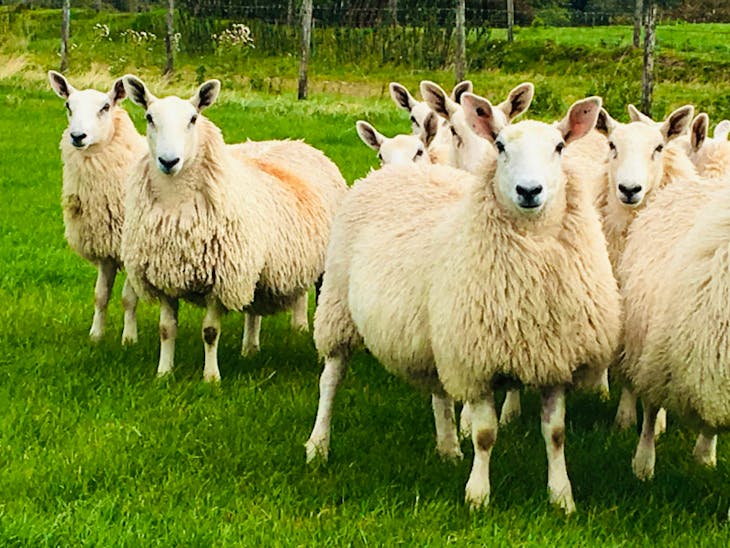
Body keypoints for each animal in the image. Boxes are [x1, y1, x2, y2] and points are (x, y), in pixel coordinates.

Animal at [48, 70, 147, 345]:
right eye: (68, 106)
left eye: (105, 107)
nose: (77, 136)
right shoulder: (105, 247)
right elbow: (100, 295)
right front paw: (96, 336)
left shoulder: (131, 248)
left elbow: (128, 298)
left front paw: (129, 339)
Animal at [120, 76, 348, 381]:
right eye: (149, 118)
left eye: (193, 119)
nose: (169, 161)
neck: (176, 205)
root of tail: (299, 143)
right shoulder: (166, 276)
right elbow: (166, 330)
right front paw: (164, 373)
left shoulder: (221, 277)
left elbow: (210, 331)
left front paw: (211, 378)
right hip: (255, 266)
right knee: (253, 308)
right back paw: (249, 348)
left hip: (324, 267)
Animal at [306, 94, 620, 513]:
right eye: (500, 146)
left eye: (559, 147)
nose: (529, 190)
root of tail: (394, 173)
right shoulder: (477, 360)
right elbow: (486, 434)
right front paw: (478, 496)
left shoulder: (554, 360)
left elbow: (555, 434)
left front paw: (561, 497)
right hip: (338, 304)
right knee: (331, 378)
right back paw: (318, 445)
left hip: (436, 331)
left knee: (439, 390)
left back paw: (448, 448)